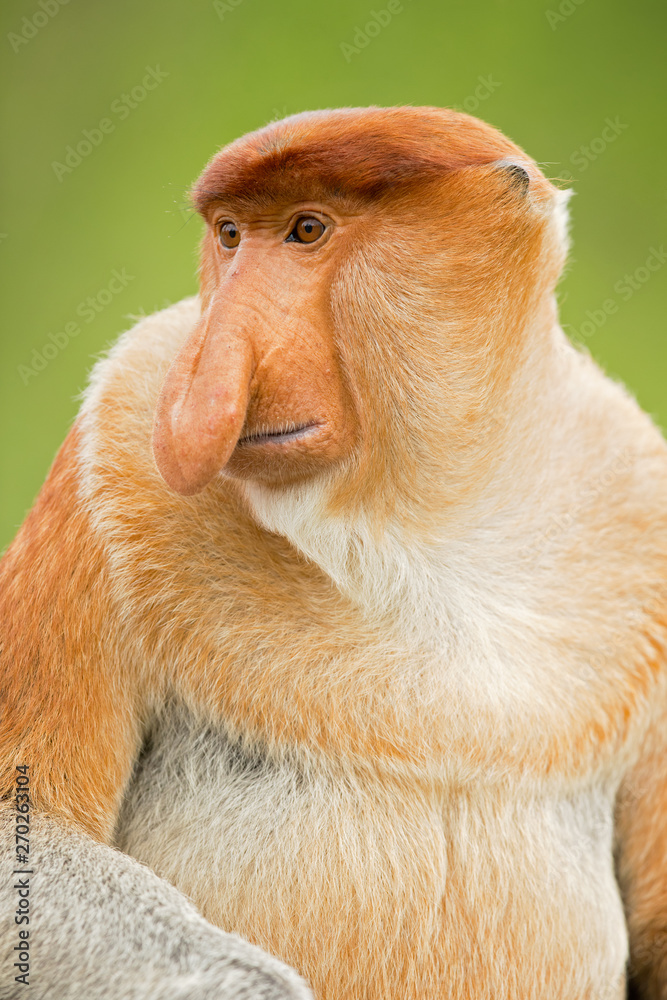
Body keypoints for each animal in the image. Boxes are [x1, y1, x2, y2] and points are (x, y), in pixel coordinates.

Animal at [1, 105, 666, 1000]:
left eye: (306, 230)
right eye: (230, 235)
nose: (206, 380)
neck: (414, 512)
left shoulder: (636, 499)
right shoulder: (118, 433)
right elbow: (32, 836)